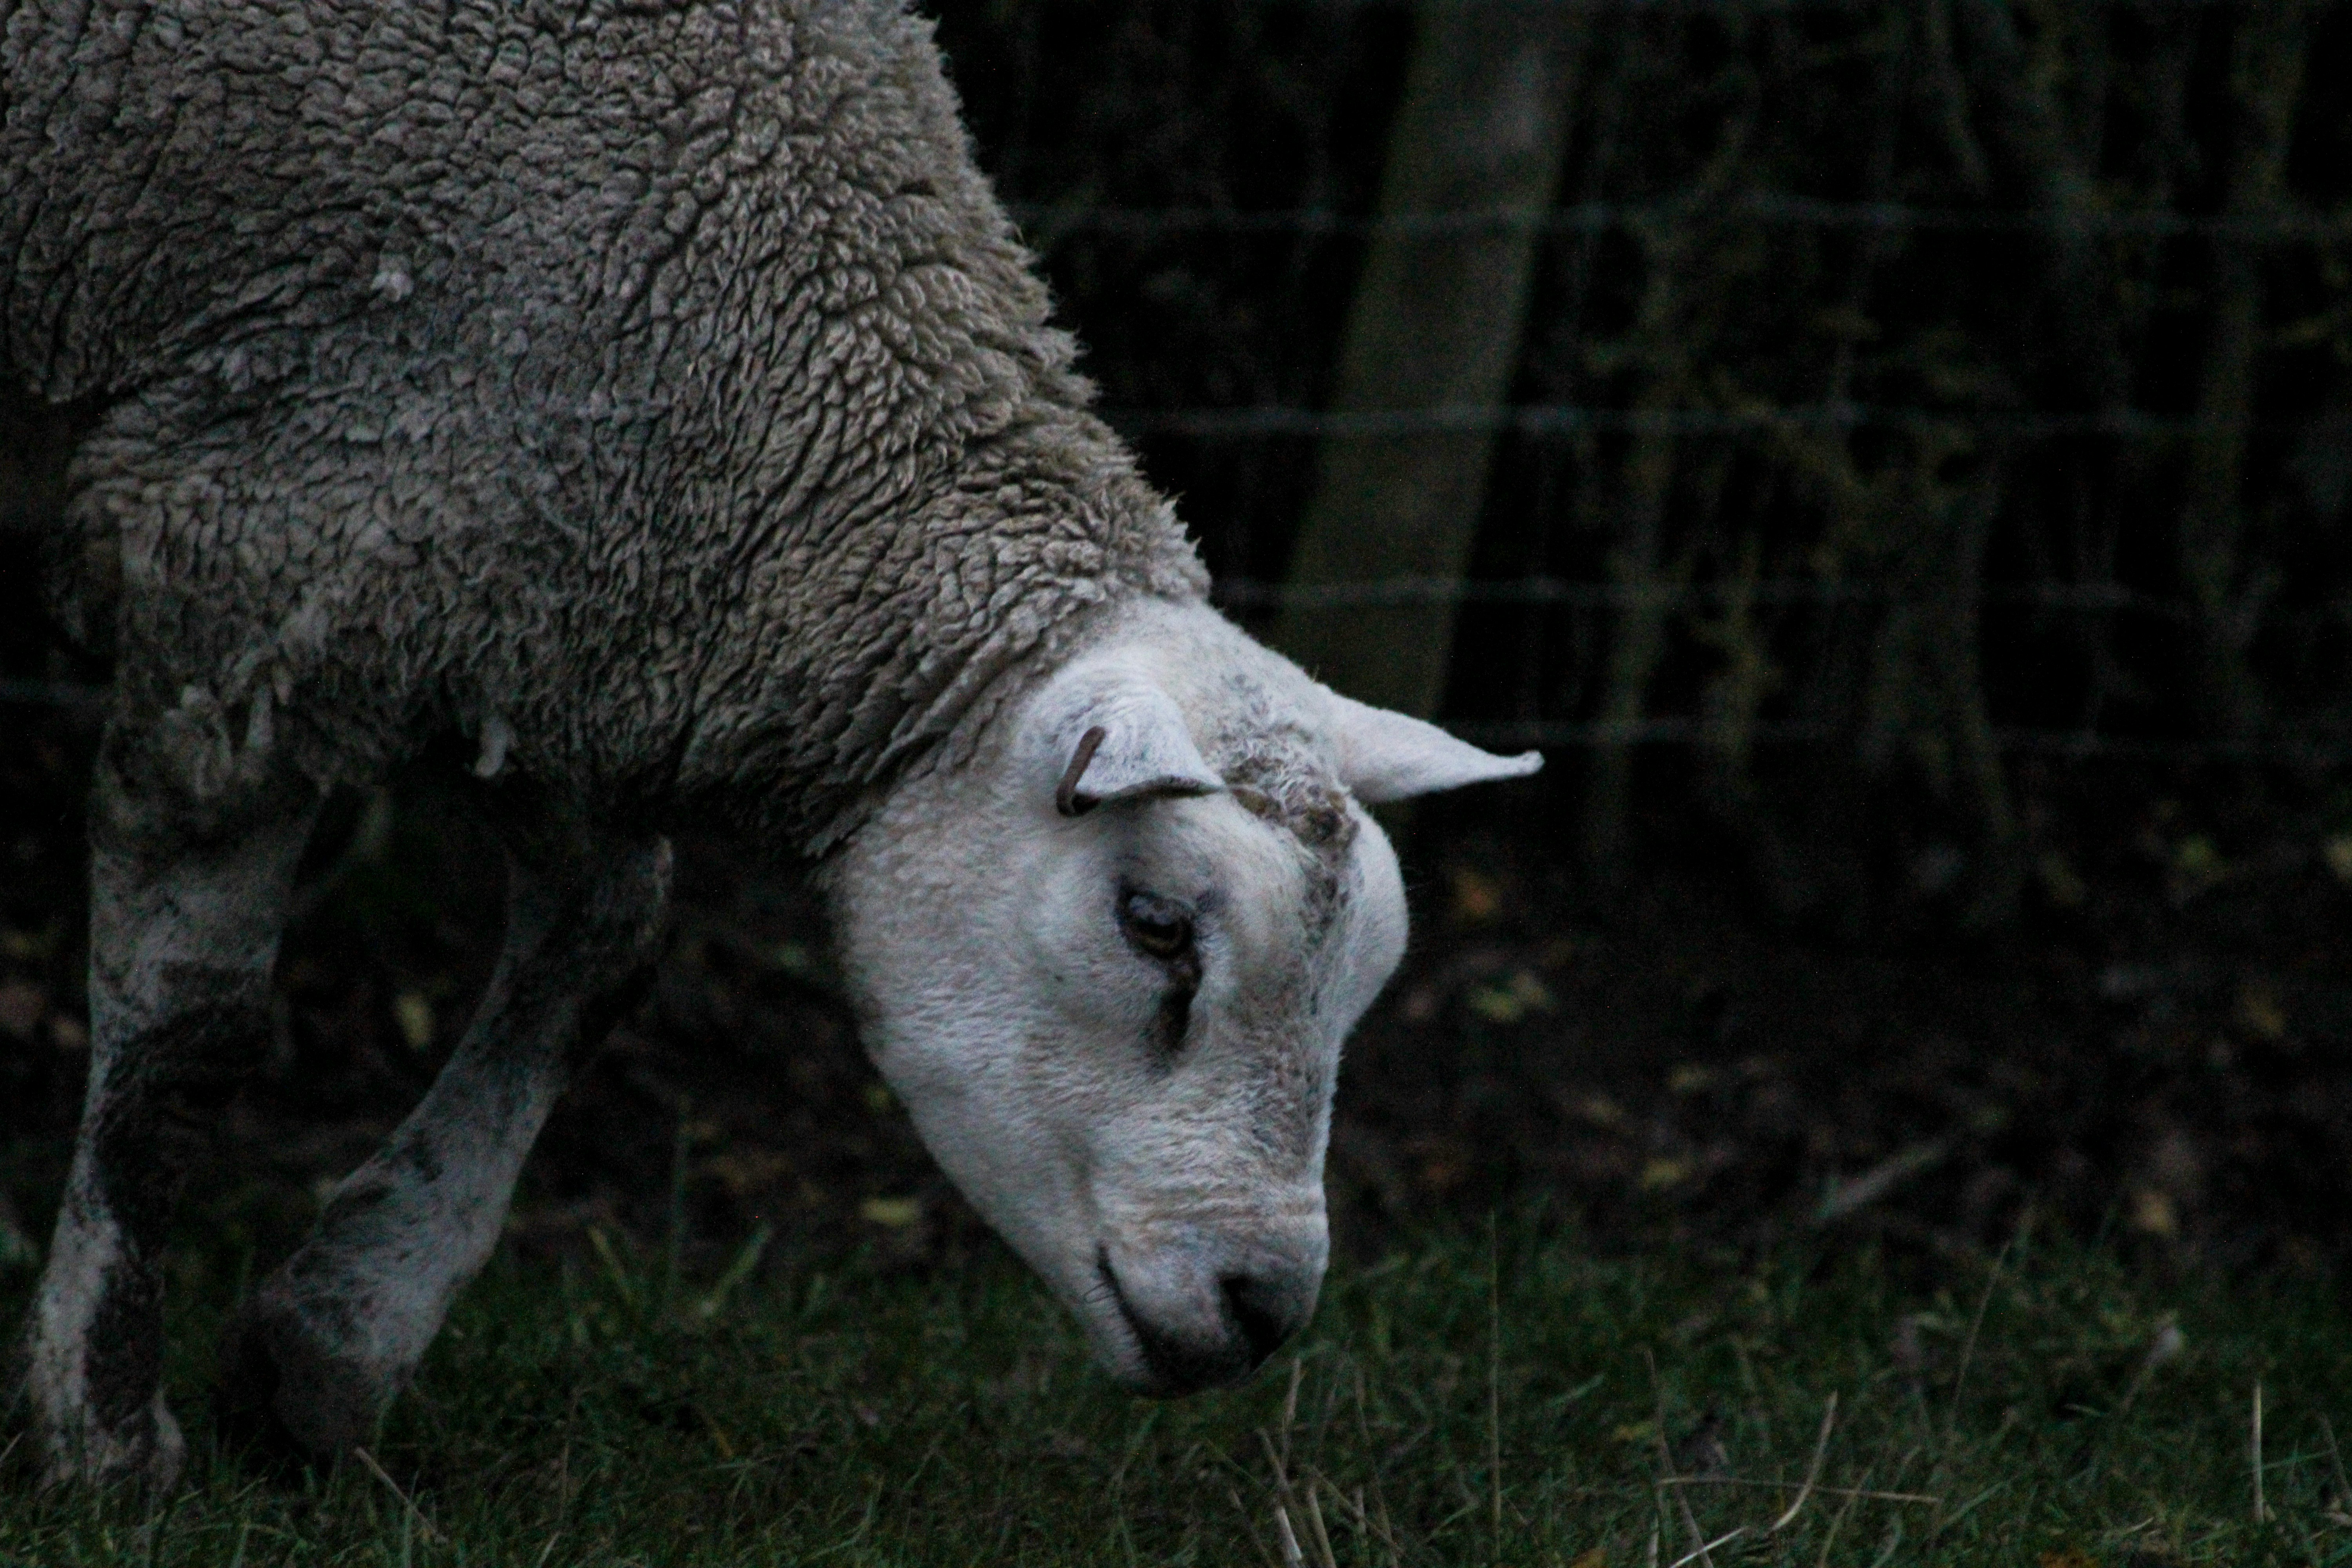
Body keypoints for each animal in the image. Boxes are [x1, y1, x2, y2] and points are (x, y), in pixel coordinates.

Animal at [0, 0, 1539, 1493]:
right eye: (1155, 924)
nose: (1264, 1308)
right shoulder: (259, 574)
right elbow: (190, 1037)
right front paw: (104, 1433)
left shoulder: (524, 595)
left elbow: (607, 942)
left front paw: (329, 1345)